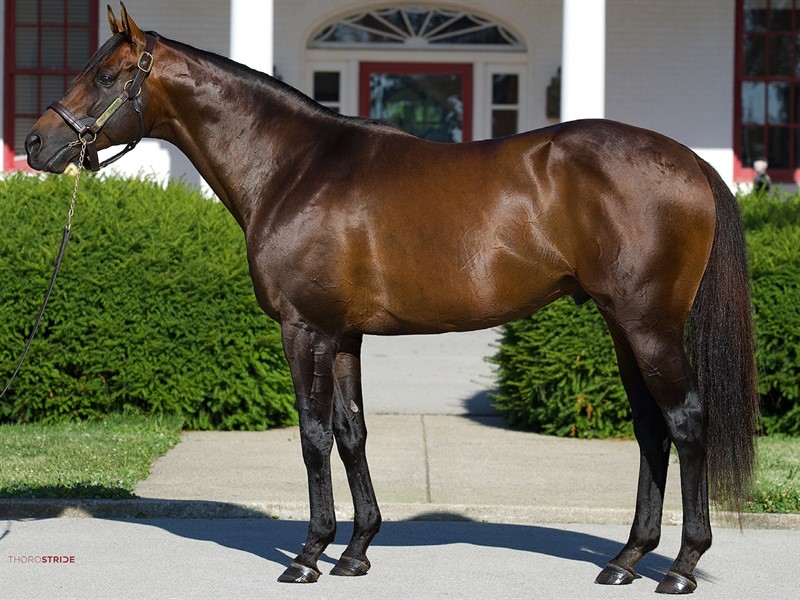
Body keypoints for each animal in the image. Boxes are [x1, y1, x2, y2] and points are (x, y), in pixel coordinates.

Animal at [25, 5, 759, 594]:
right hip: (622, 326)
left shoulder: (304, 330)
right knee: (650, 429)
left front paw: (308, 555)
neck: (295, 168)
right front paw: (355, 551)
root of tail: (691, 161)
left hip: (650, 325)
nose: (36, 142)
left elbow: (313, 436)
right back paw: (626, 560)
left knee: (686, 422)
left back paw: (681, 568)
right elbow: (352, 433)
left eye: (109, 76)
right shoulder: (343, 334)